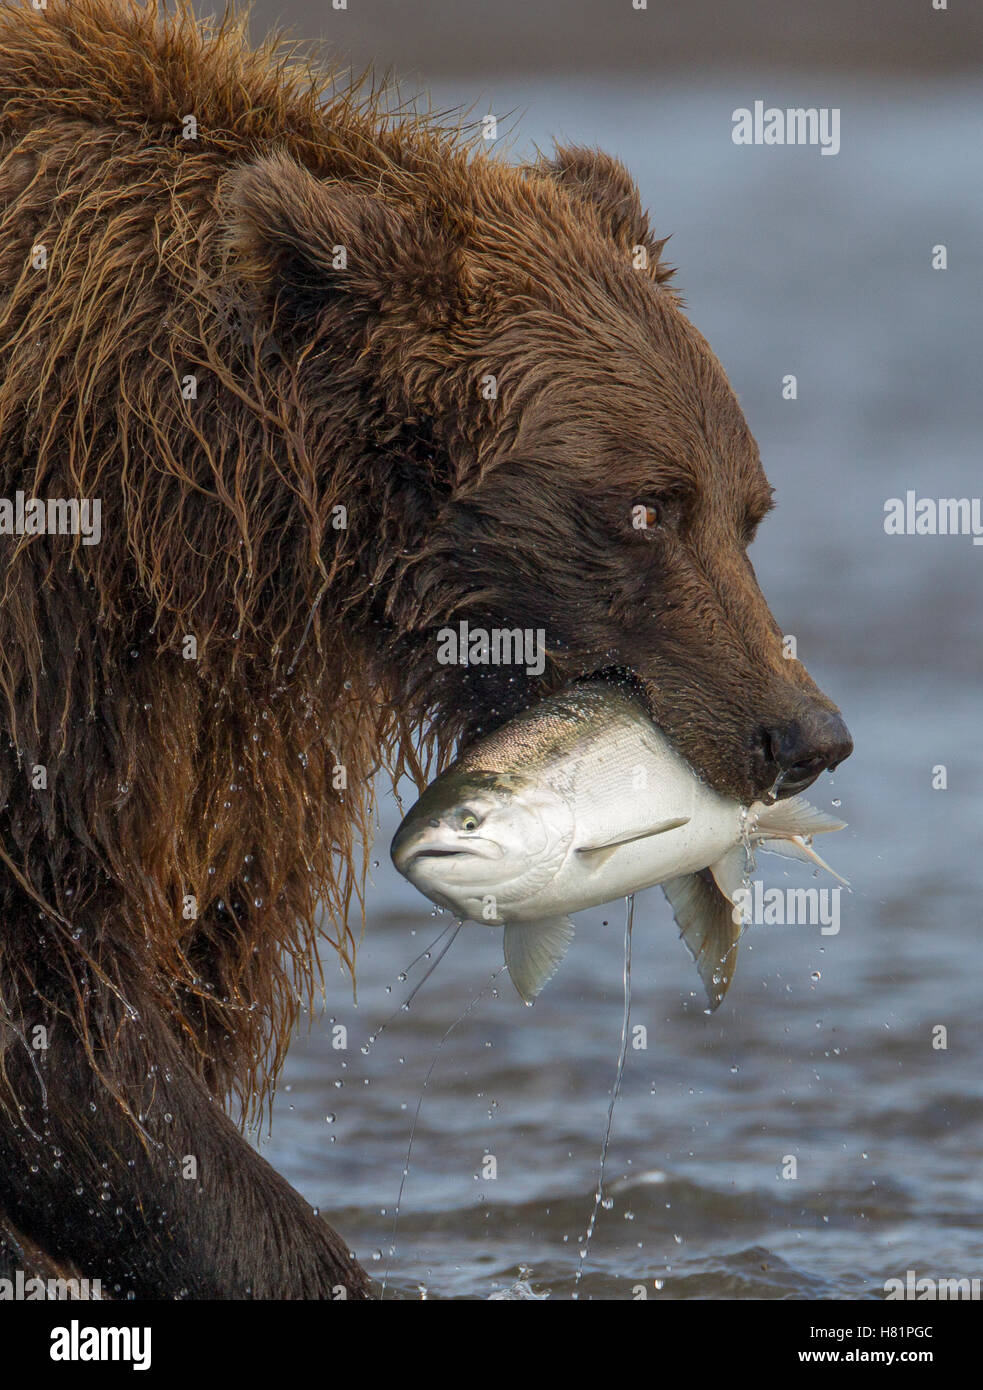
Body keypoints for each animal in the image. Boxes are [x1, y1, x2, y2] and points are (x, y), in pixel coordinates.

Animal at [0, 0, 851, 1298]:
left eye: (745, 509)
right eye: (644, 506)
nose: (801, 731)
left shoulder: (217, 731)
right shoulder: (54, 653)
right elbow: (61, 1023)